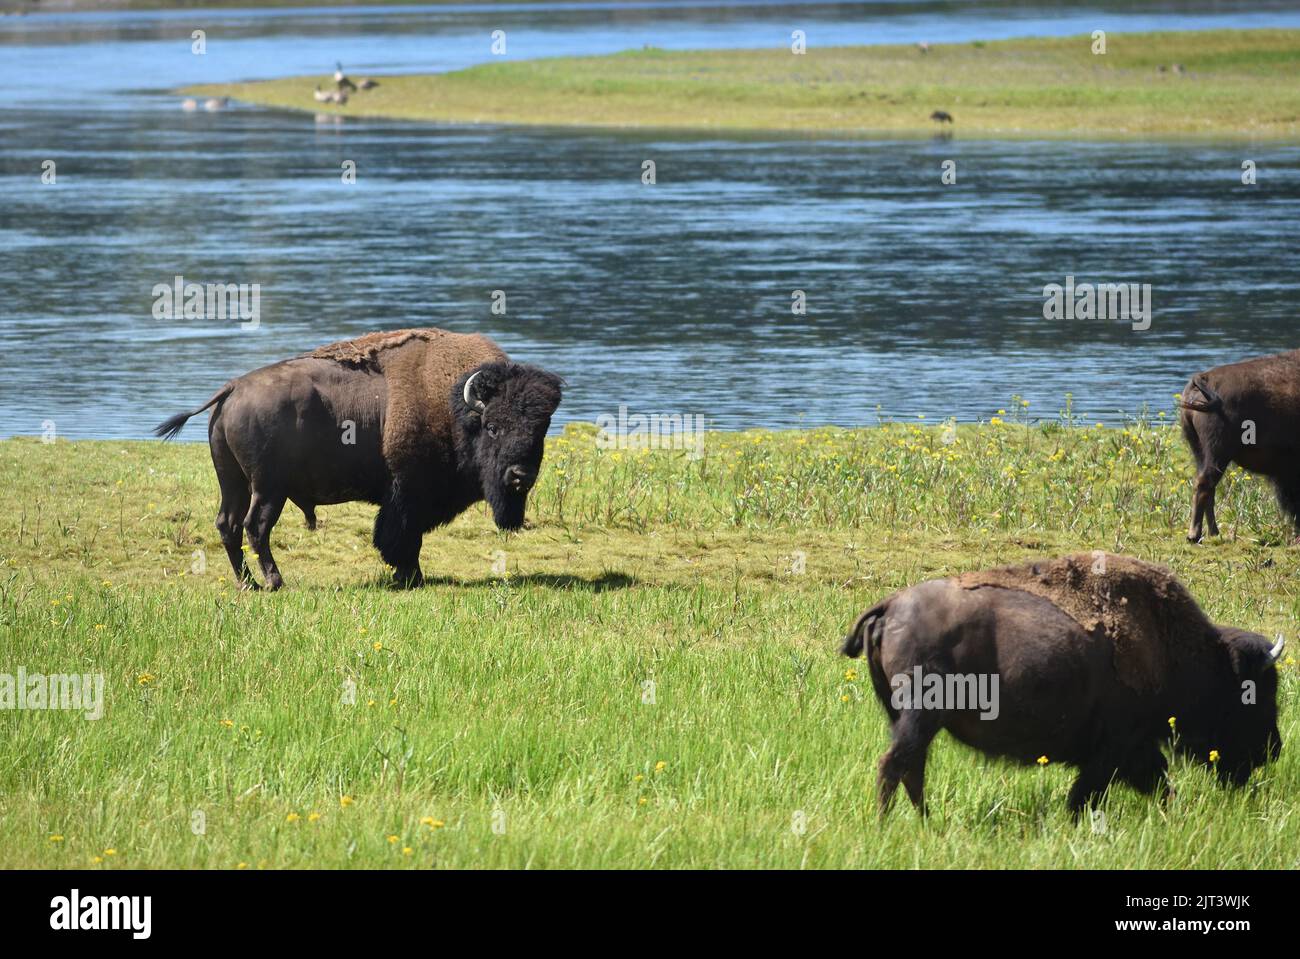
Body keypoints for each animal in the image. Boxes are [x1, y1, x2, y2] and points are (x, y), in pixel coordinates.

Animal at [154, 328, 563, 589]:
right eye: (493, 426)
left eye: (541, 428)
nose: (520, 475)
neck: (454, 406)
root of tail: (233, 388)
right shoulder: (408, 494)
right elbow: (402, 537)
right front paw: (410, 577)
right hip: (268, 488)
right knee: (256, 527)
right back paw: (274, 581)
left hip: (234, 482)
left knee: (228, 525)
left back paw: (248, 584)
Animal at [841, 553, 1284, 817]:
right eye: (1256, 692)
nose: (1273, 750)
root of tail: (890, 605)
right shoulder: (1118, 746)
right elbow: (1092, 790)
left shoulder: (1130, 749)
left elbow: (1151, 783)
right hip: (920, 715)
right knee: (896, 765)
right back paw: (888, 825)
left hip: (908, 718)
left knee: (911, 767)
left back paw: (925, 823)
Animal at [1180, 349, 1300, 542]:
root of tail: (1204, 378)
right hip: (1217, 453)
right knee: (1204, 485)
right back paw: (1195, 535)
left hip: (1200, 452)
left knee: (1207, 488)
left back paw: (1214, 533)